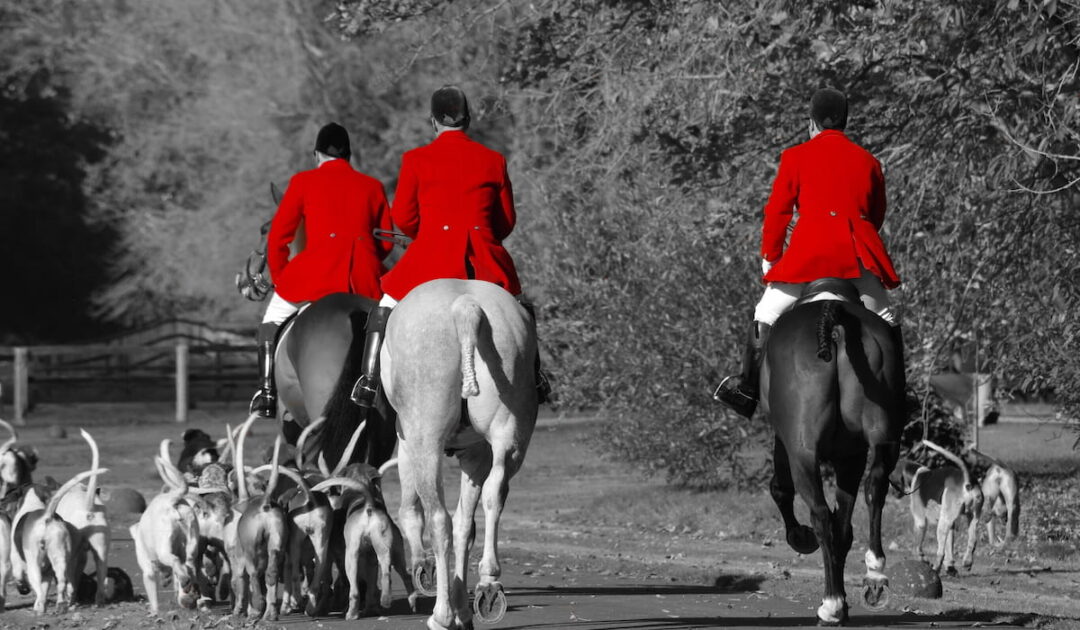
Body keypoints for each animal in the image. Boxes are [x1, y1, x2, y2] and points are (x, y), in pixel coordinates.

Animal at [380, 279, 538, 630]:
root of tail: (467, 308)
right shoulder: (475, 455)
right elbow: (465, 526)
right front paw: (462, 608)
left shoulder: (407, 441)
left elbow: (412, 512)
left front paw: (425, 570)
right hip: (509, 435)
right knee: (493, 497)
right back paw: (488, 584)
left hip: (425, 440)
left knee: (439, 520)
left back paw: (441, 614)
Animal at [761, 282, 905, 626]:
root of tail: (834, 317)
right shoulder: (850, 457)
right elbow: (846, 525)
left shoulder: (785, 440)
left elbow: (780, 489)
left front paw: (799, 537)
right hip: (879, 441)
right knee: (873, 490)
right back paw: (874, 573)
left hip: (802, 452)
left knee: (821, 515)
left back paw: (831, 604)